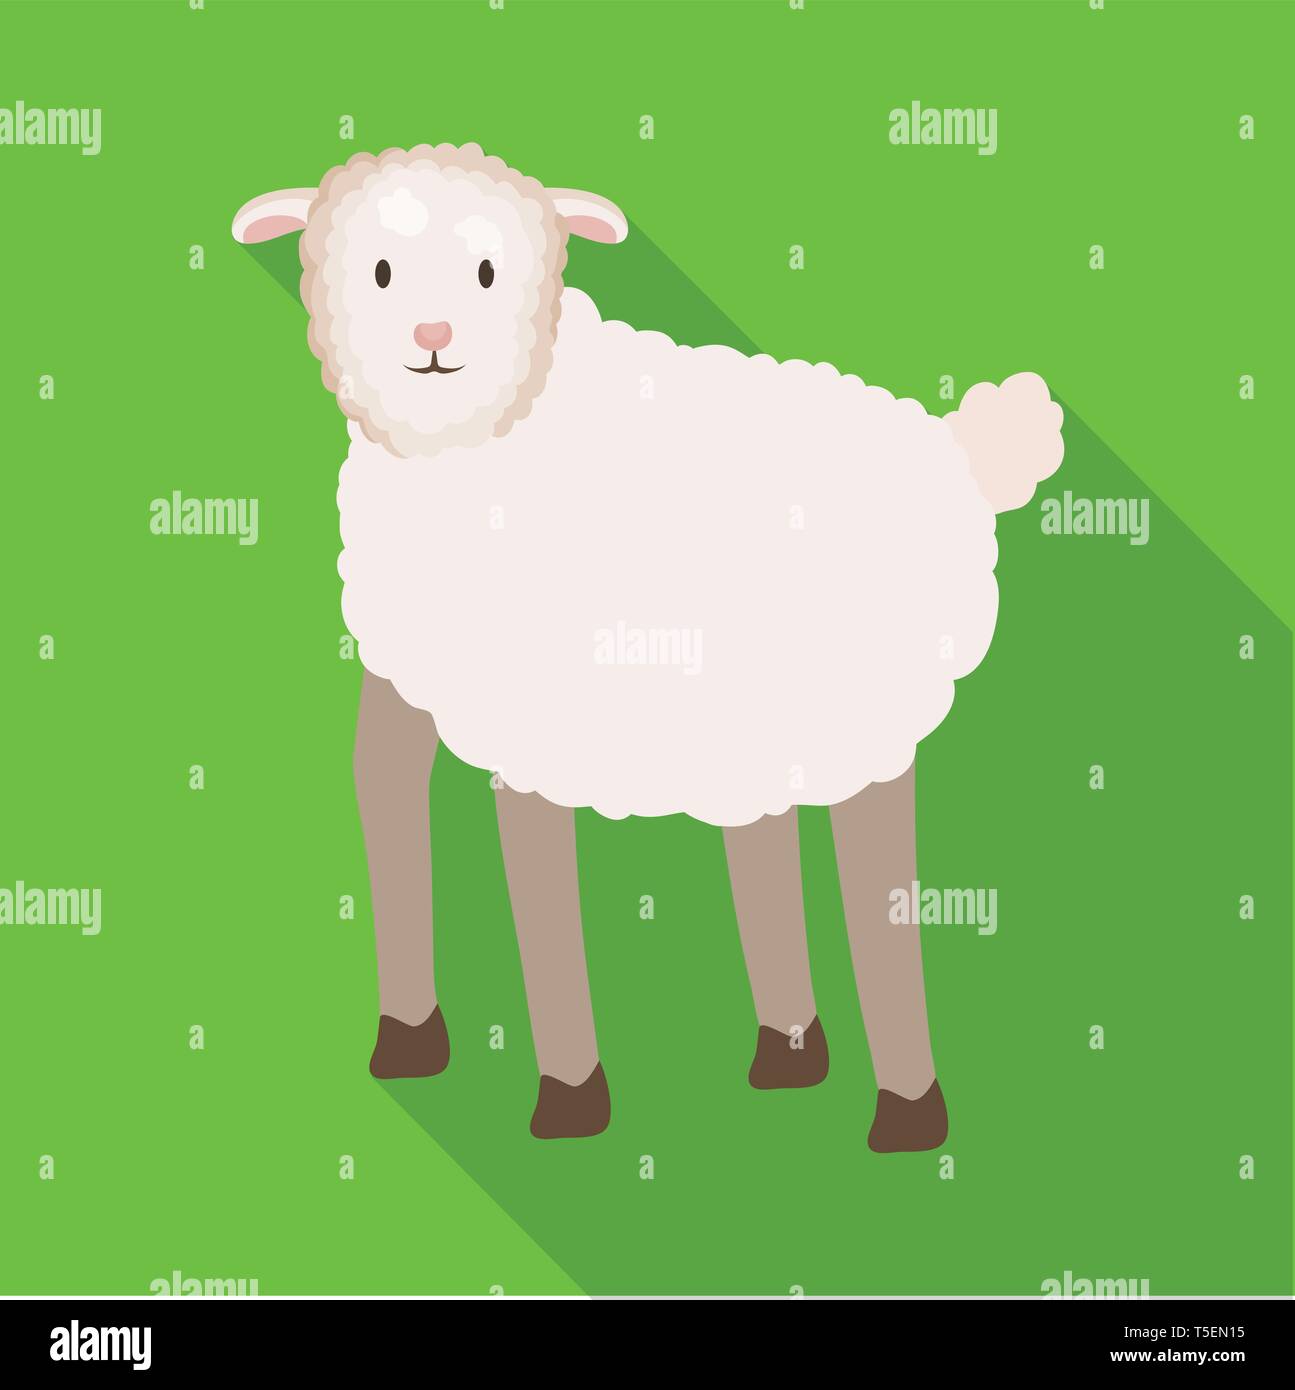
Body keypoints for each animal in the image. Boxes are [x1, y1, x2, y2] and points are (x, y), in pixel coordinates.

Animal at [233, 143, 1064, 1147]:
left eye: (488, 272)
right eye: (381, 271)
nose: (432, 335)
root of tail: (961, 453)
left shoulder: (532, 716)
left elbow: (535, 880)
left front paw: (568, 1096)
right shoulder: (414, 673)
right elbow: (382, 790)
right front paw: (408, 1041)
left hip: (871, 715)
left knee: (878, 888)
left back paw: (905, 1111)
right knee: (765, 838)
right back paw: (789, 1054)